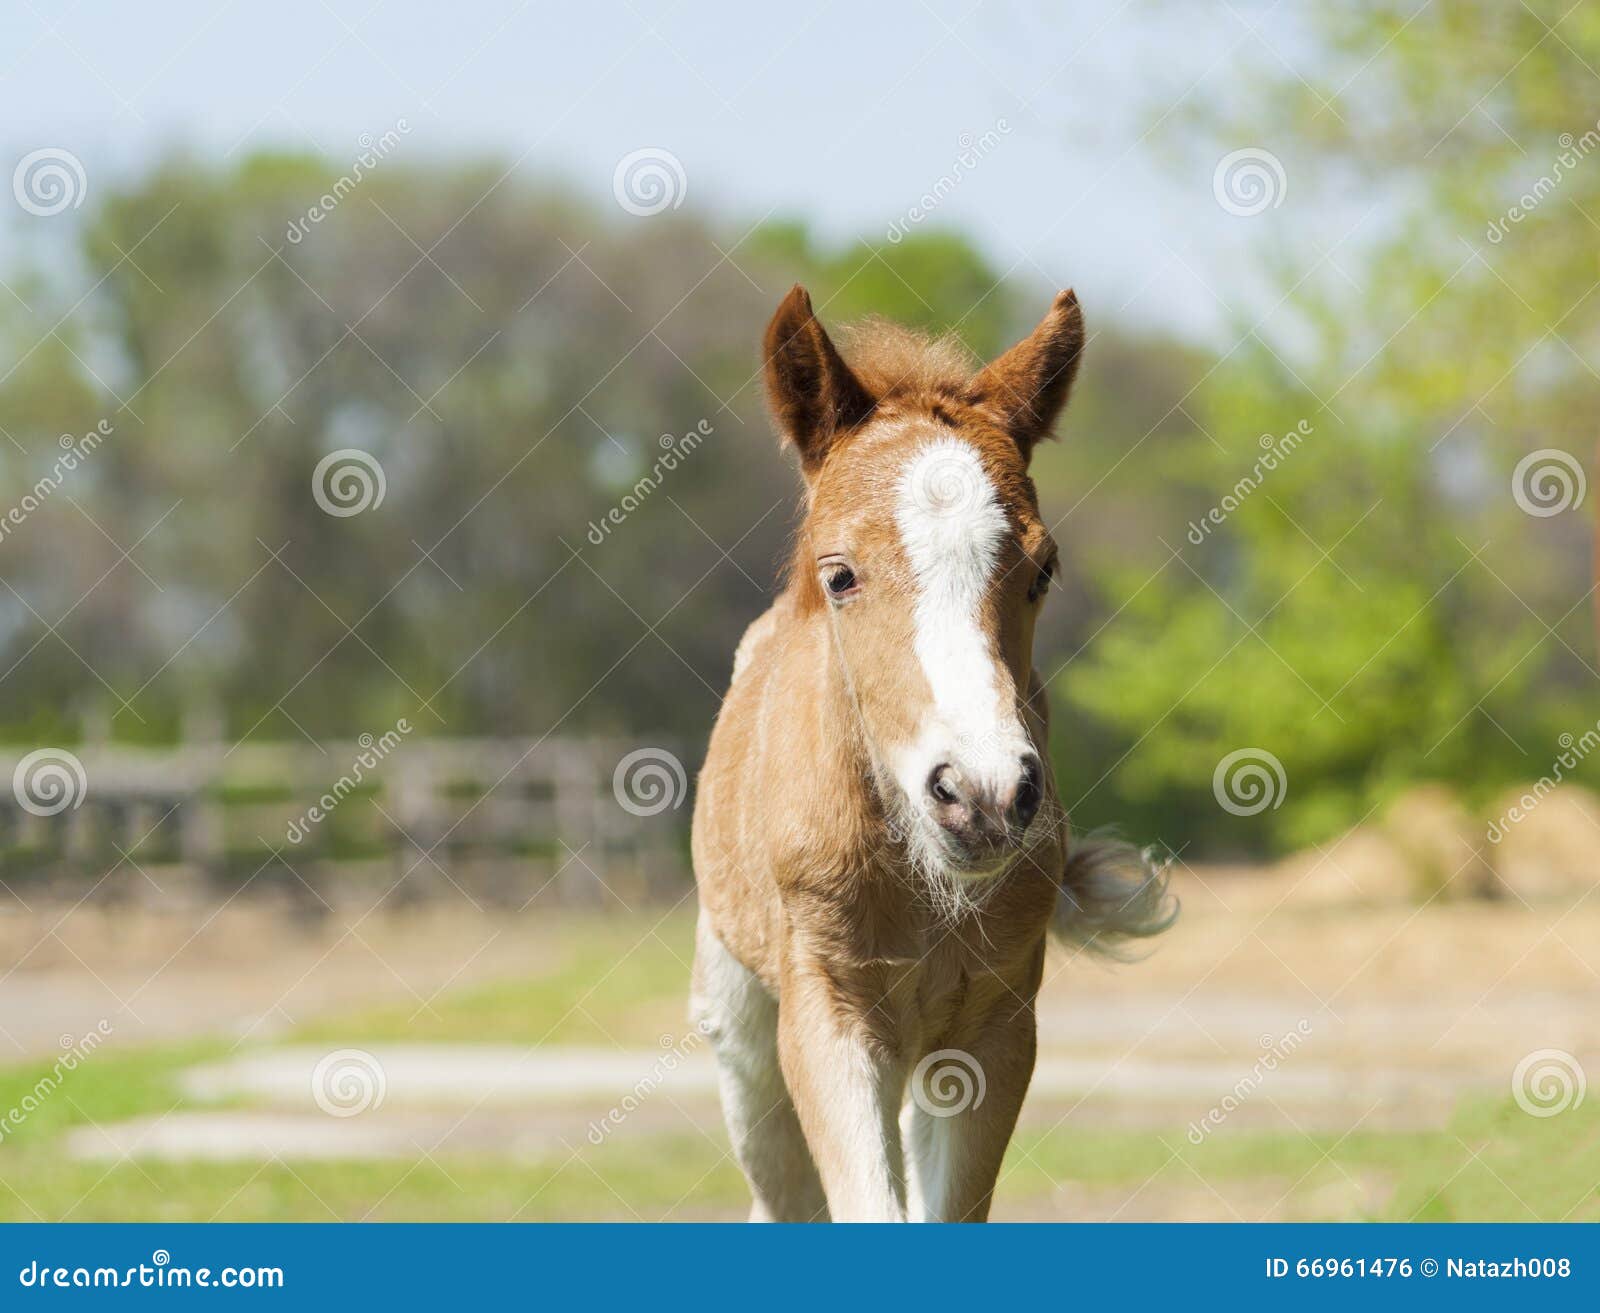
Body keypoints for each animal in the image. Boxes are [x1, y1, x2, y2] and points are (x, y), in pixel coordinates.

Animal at [690, 285, 1175, 1222]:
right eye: (840, 574)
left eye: (1043, 570)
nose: (984, 796)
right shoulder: (828, 1020)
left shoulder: (997, 1031)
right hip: (742, 1039)